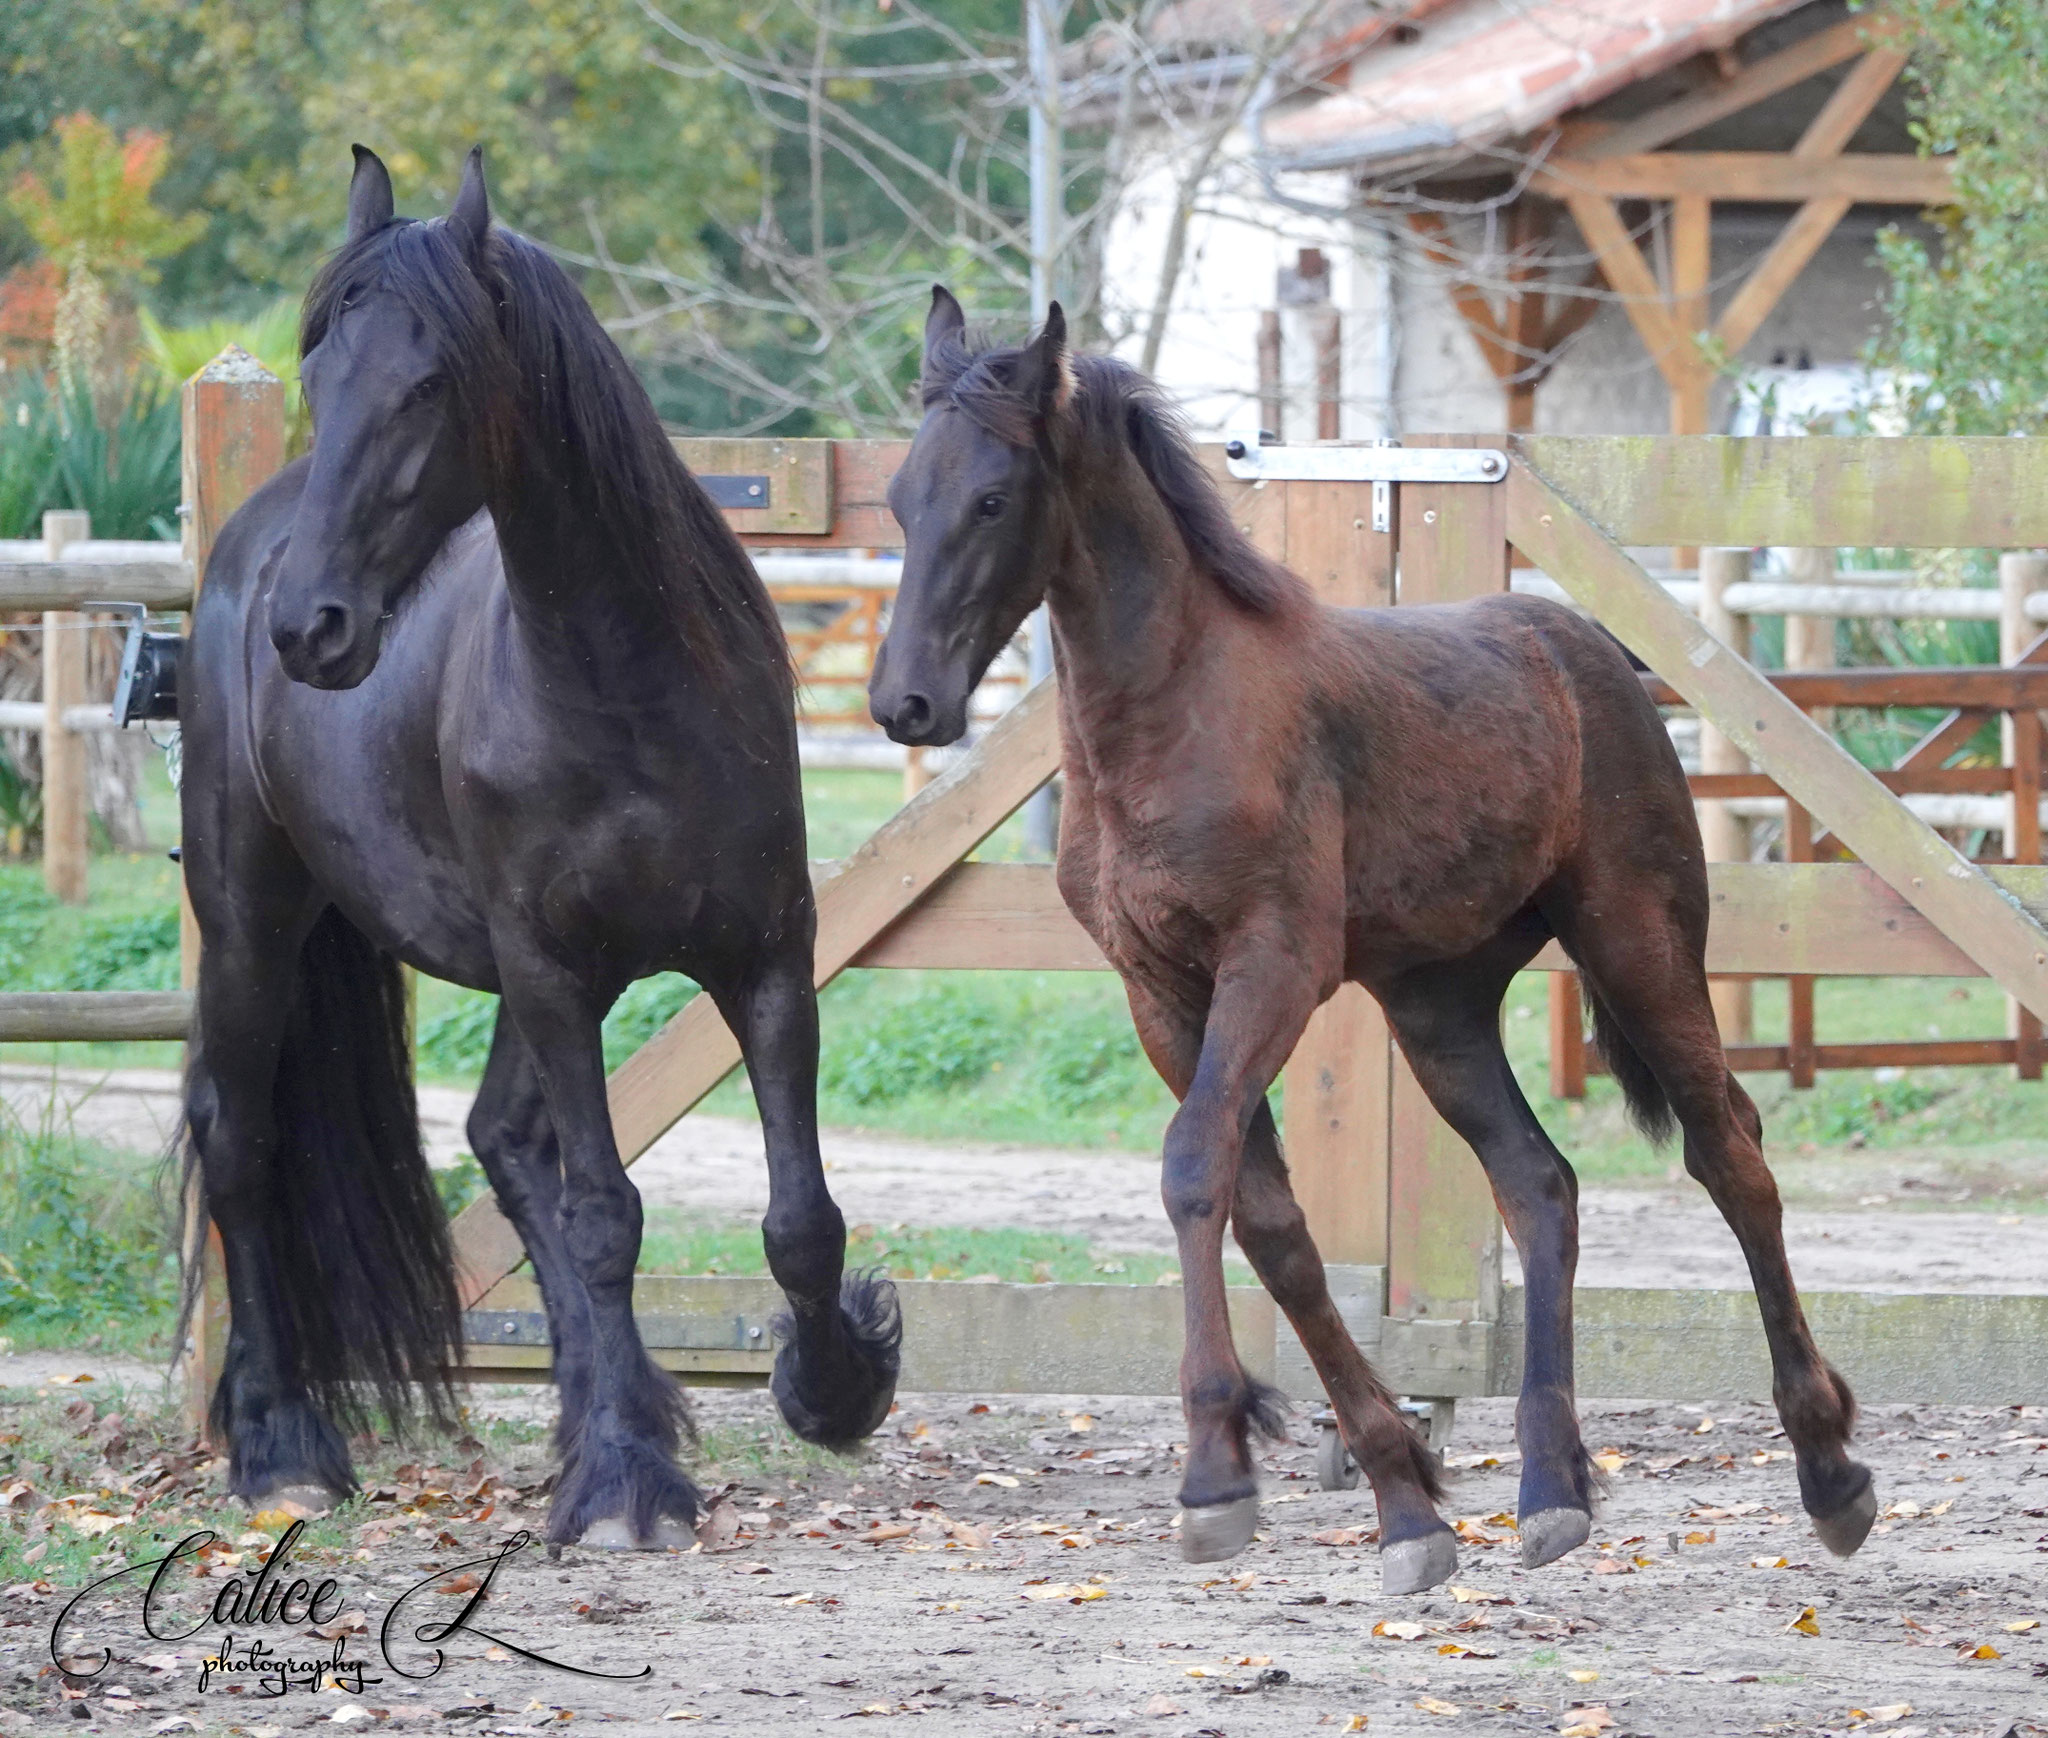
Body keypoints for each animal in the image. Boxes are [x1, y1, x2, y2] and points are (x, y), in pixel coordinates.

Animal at [179, 146, 900, 1548]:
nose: (310, 627)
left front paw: (831, 1386)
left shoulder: (762, 957)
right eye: (317, 377)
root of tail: (248, 544)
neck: (622, 686)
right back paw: (283, 1446)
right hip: (254, 920)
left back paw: (600, 1413)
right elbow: (605, 1212)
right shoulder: (556, 972)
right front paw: (625, 1486)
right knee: (240, 1141)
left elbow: (798, 1218)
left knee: (503, 1144)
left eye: (426, 383)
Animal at [868, 285, 1876, 1595]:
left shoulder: (1272, 966)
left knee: (1731, 1159)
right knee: (1537, 1181)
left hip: (1640, 944)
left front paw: (1215, 1472)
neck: (1173, 717)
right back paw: (1551, 1489)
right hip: (1437, 1004)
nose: (905, 703)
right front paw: (1403, 1498)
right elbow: (1268, 1217)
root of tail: (1589, 650)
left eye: (992, 498)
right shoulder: (1160, 991)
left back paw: (1830, 1473)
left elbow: (1192, 1169)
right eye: (899, 497)